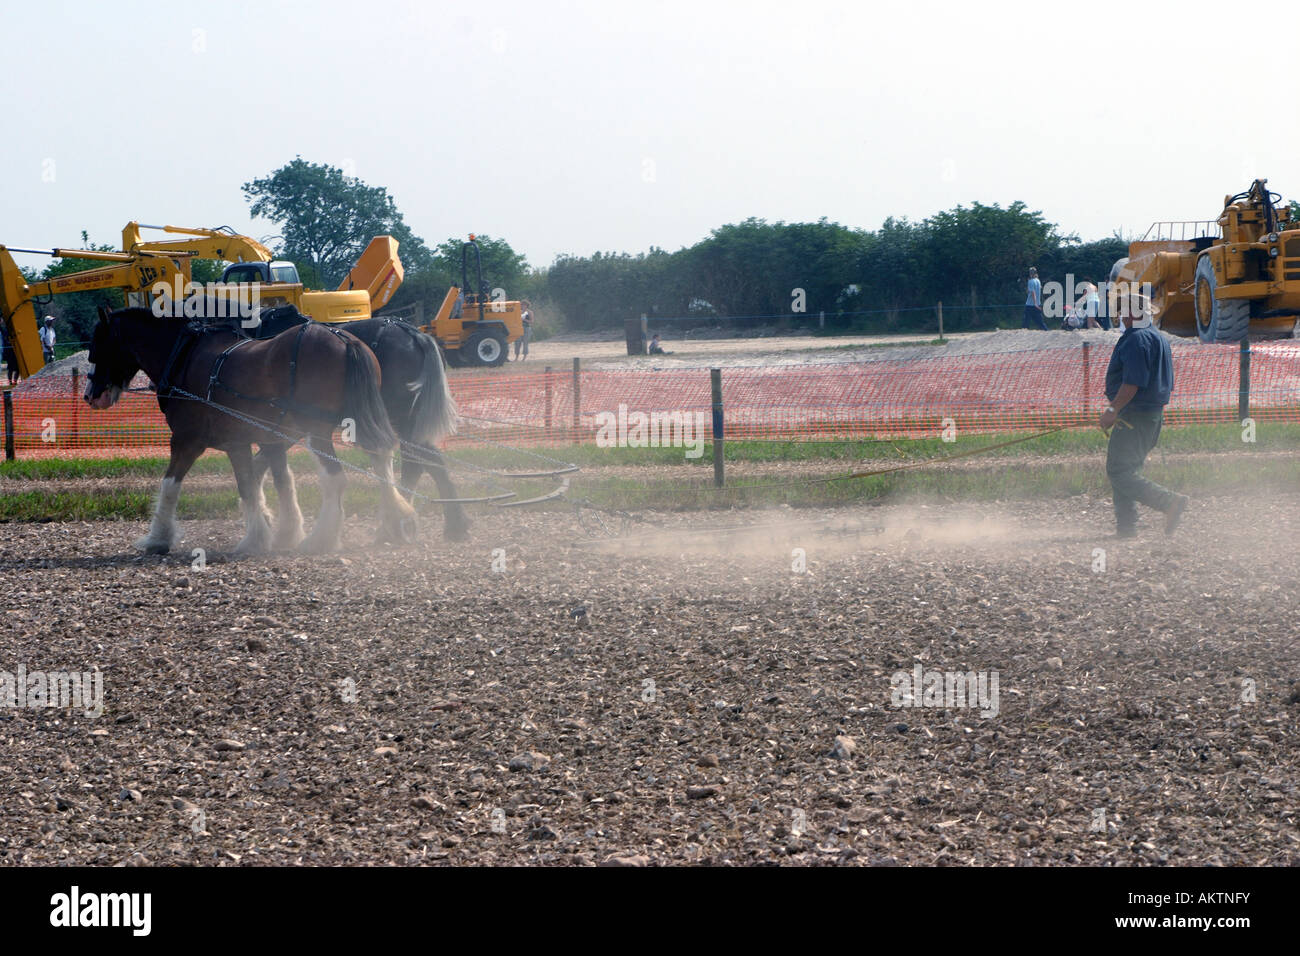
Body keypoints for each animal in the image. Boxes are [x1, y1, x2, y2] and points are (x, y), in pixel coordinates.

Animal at [83, 305, 415, 555]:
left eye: (97, 346)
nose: (90, 395)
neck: (185, 357)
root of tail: (345, 340)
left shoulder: (188, 440)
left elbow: (174, 485)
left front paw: (159, 538)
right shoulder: (260, 441)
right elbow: (276, 483)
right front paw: (280, 532)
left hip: (317, 430)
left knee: (336, 478)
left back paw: (322, 538)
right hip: (358, 419)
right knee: (382, 461)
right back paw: (395, 522)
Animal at [247, 311, 470, 542]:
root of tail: (414, 334)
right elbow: (259, 463)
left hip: (401, 419)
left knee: (425, 461)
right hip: (407, 421)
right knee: (420, 461)